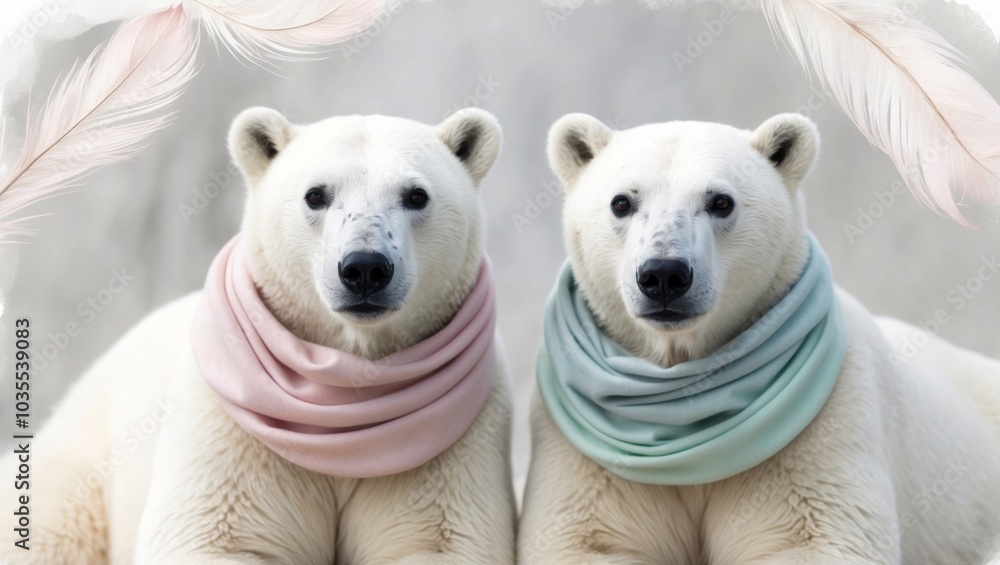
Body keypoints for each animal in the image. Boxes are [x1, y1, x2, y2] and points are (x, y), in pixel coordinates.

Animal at [0, 107, 517, 564]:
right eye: (316, 194)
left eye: (416, 195)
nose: (365, 268)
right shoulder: (232, 425)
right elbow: (213, 537)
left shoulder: (451, 441)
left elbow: (438, 540)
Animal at [518, 112, 1000, 564]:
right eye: (621, 201)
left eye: (721, 201)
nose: (664, 275)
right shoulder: (586, 448)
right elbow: (580, 539)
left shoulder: (822, 423)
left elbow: (814, 538)